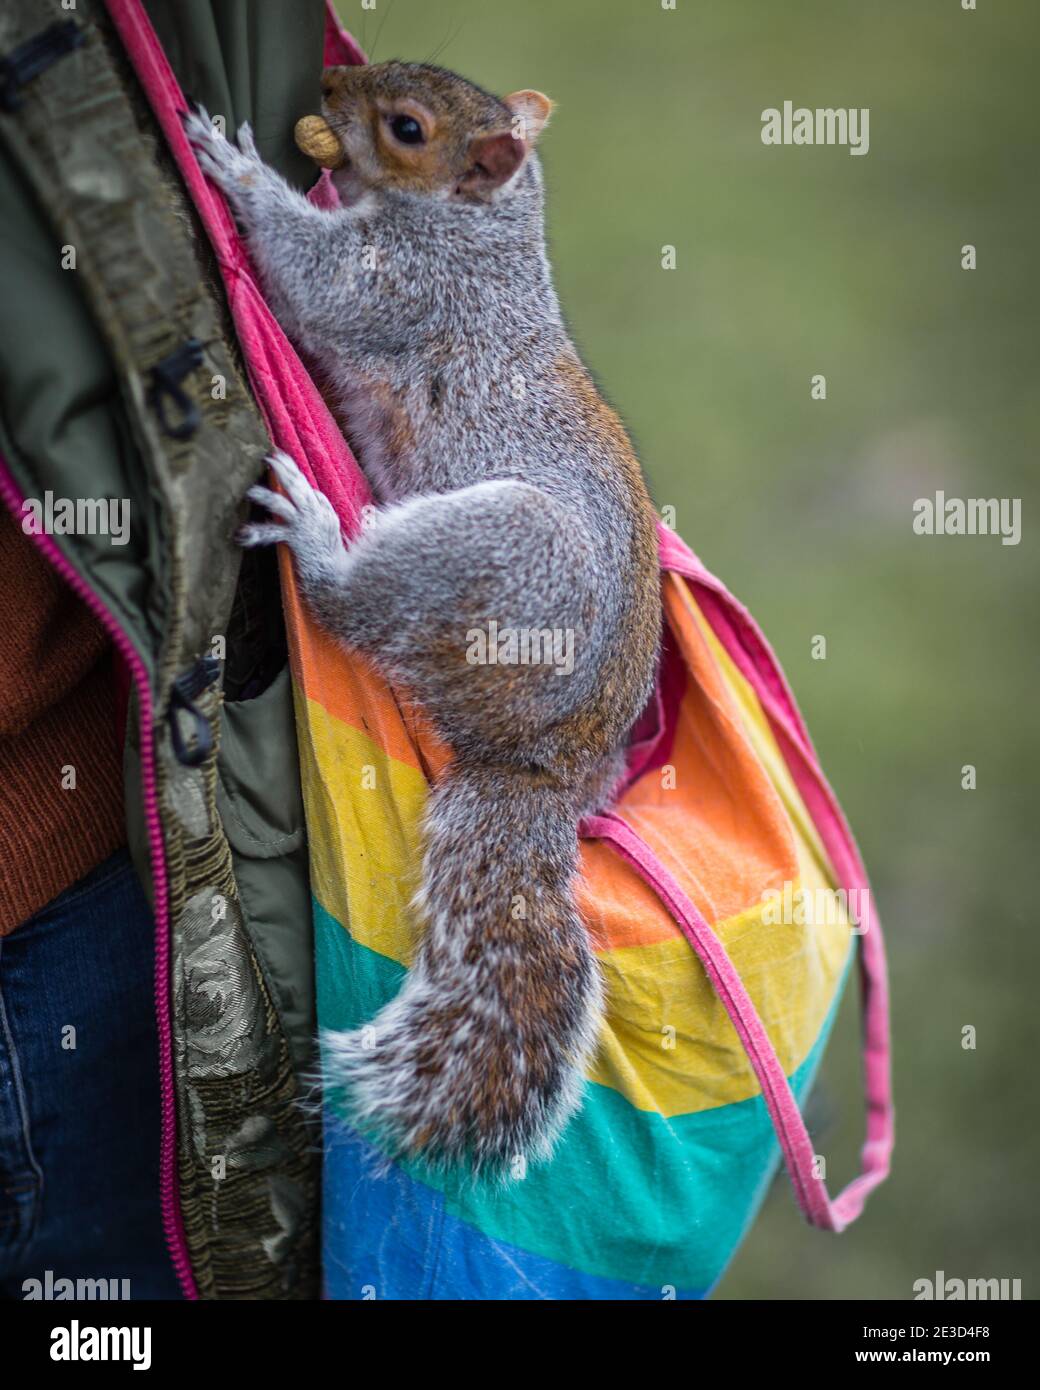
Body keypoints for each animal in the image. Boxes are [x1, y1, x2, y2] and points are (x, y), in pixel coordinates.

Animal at [183, 61, 661, 1176]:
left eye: (406, 128)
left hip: (499, 560)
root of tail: (543, 767)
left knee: (361, 605)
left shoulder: (406, 287)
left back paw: (319, 540)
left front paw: (238, 167)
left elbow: (319, 278)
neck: (488, 227)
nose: (326, 84)